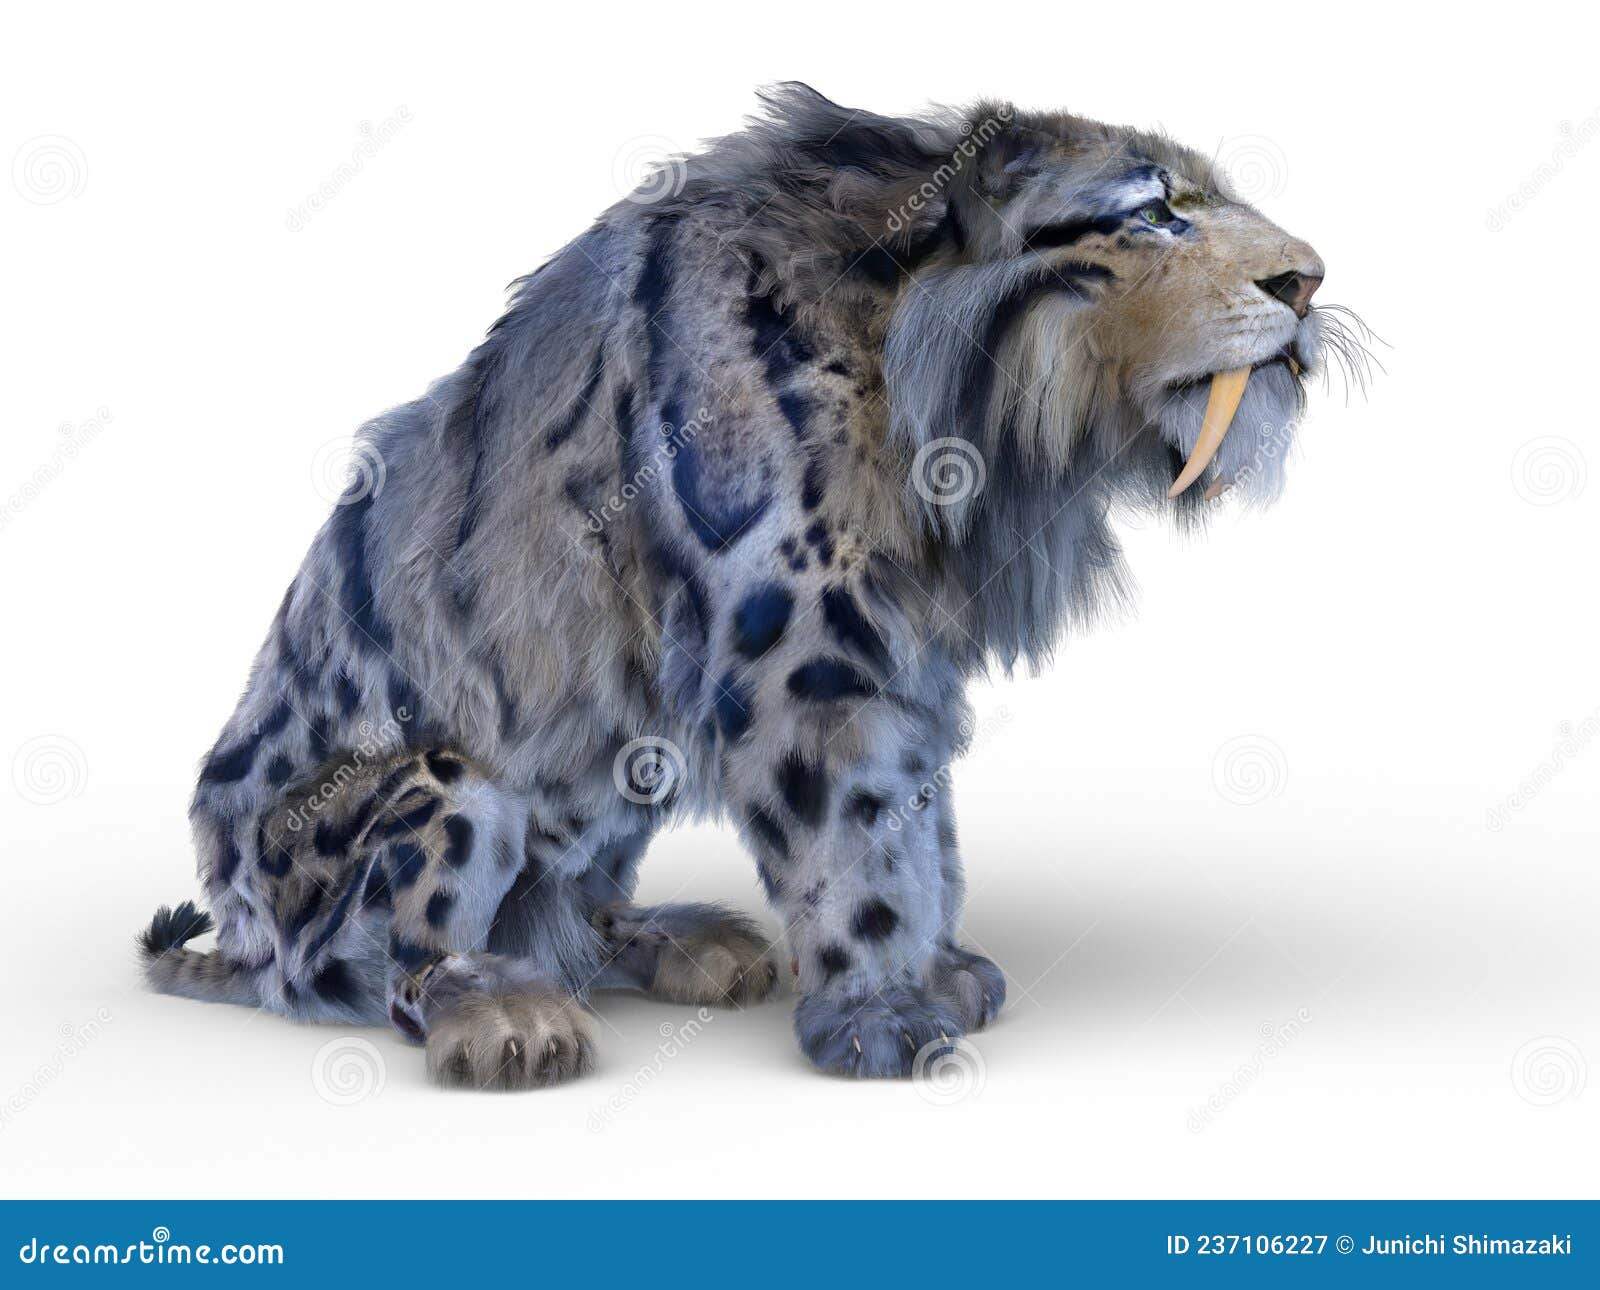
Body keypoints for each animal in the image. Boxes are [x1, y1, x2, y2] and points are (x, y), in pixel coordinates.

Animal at [139, 84, 1365, 1086]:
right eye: (1158, 211)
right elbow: (856, 841)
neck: (927, 380)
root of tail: (236, 931)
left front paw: (936, 970)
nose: (1309, 282)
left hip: (617, 774)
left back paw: (676, 943)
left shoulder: (899, 649)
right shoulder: (808, 648)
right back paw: (505, 1017)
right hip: (441, 784)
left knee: (567, 913)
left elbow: (924, 825)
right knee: (373, 969)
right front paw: (879, 1013)